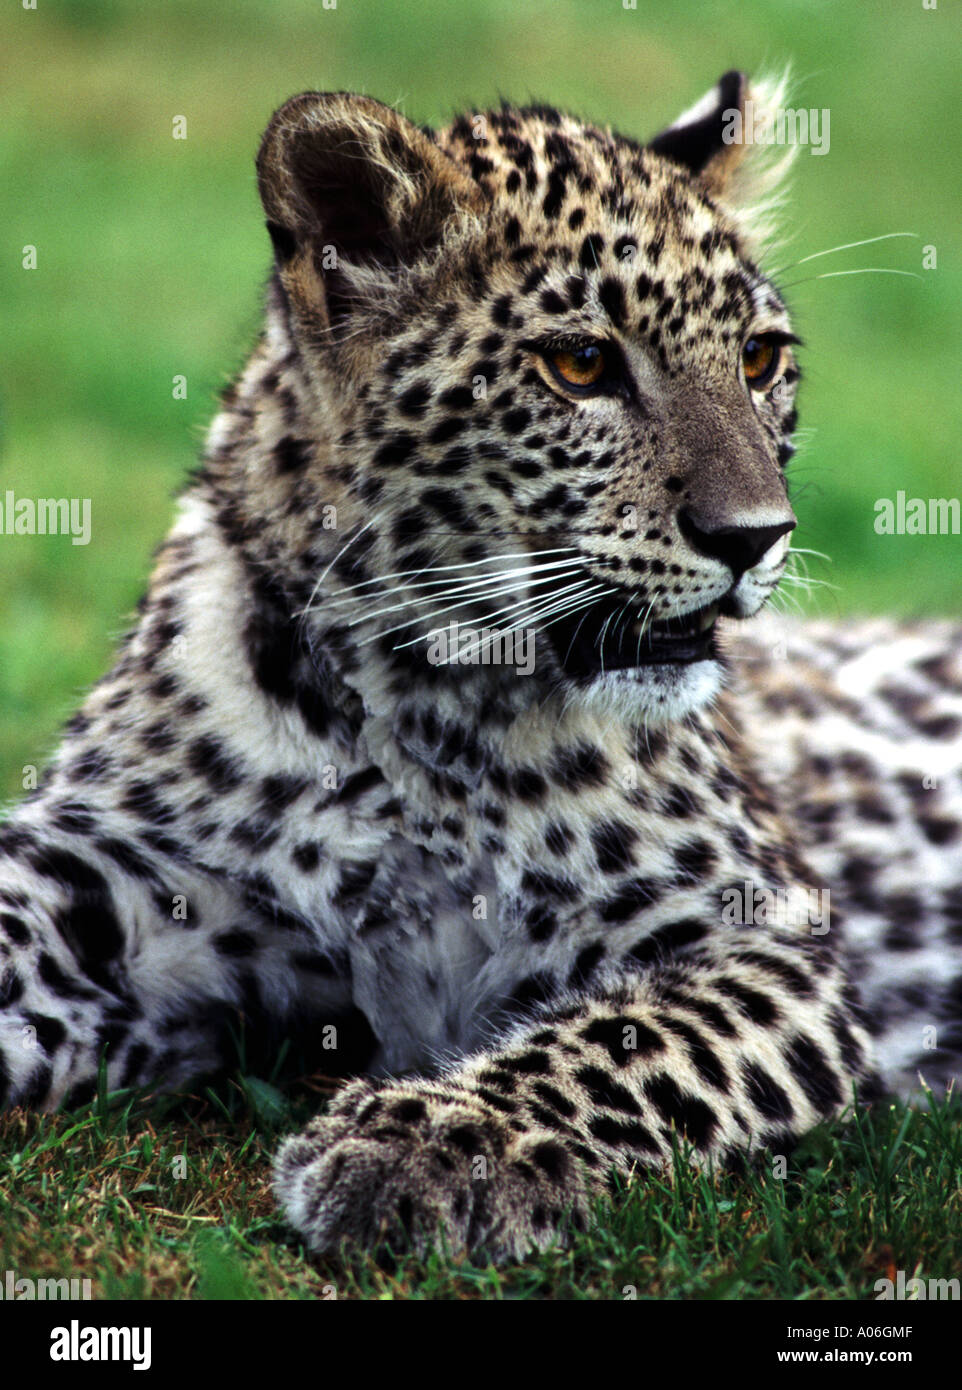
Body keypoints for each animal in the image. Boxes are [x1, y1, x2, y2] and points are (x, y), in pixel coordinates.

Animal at [2, 70, 961, 1264]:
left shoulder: (760, 940)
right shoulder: (118, 874)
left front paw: (434, 1139)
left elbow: (630, 1042)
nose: (755, 536)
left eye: (758, 360)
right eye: (580, 365)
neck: (426, 704)